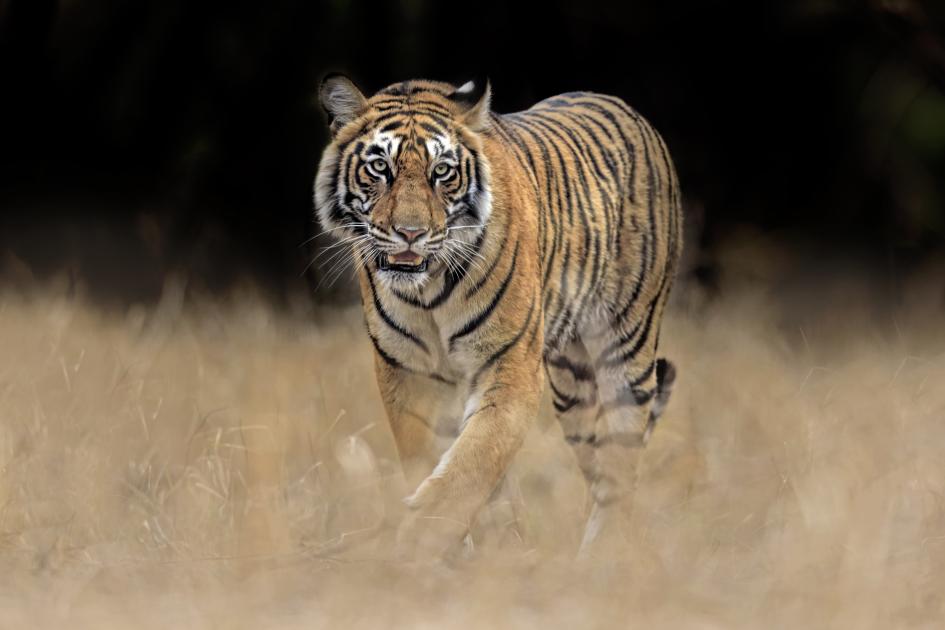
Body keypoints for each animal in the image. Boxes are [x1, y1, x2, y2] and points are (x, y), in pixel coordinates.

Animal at [313, 75, 682, 559]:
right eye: (379, 168)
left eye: (442, 172)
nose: (410, 233)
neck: (428, 292)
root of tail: (627, 109)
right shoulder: (407, 372)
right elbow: (436, 458)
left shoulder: (509, 365)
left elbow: (476, 457)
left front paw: (419, 541)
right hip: (572, 385)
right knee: (595, 462)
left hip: (626, 348)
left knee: (620, 463)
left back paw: (603, 554)